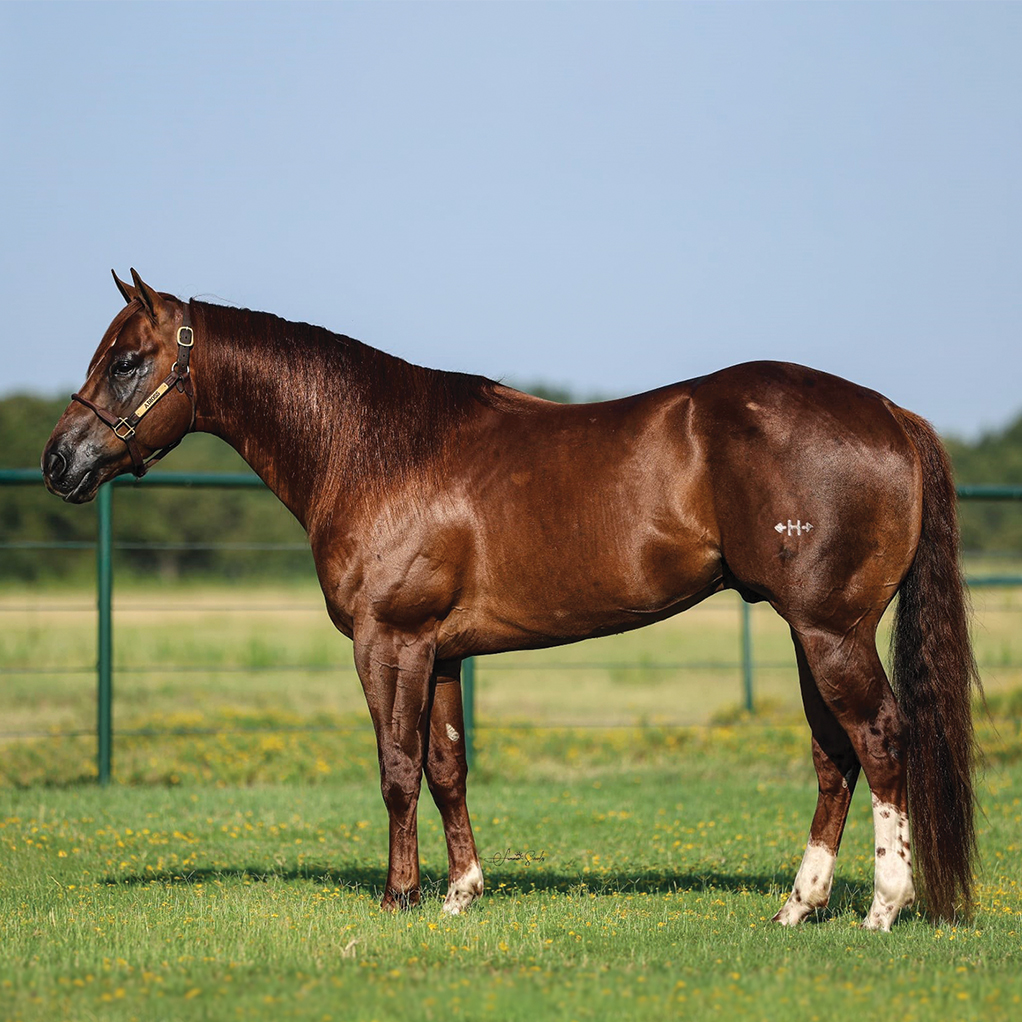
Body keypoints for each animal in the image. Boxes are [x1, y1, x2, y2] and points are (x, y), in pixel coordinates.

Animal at [42, 269, 978, 929]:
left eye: (127, 362)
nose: (59, 461)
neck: (376, 448)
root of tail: (890, 414)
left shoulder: (389, 640)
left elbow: (396, 768)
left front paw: (400, 897)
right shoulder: (442, 651)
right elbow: (448, 767)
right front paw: (462, 891)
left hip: (830, 630)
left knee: (880, 737)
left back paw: (883, 906)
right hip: (810, 632)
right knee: (835, 755)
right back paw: (797, 905)